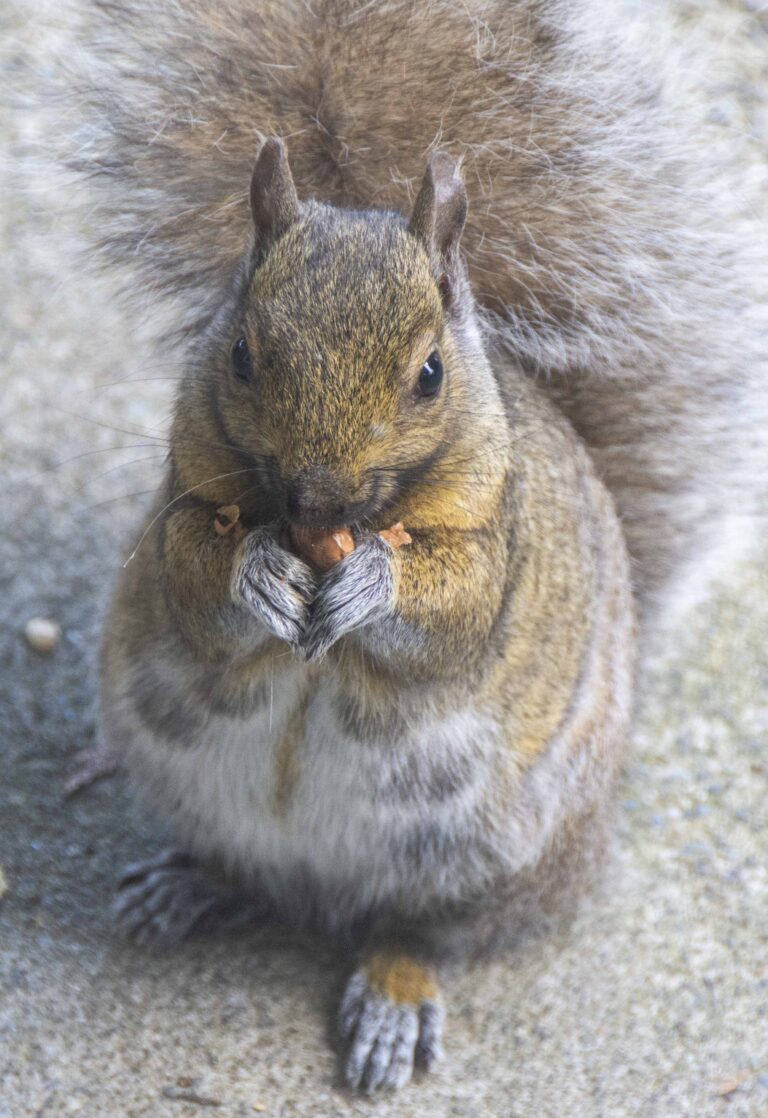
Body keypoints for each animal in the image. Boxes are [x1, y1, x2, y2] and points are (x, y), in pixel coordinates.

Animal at [101, 140, 635, 1093]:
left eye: (430, 373)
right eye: (241, 354)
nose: (317, 499)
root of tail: (324, 894)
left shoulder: (495, 538)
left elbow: (456, 607)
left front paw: (369, 584)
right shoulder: (185, 495)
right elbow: (194, 579)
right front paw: (258, 574)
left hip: (492, 854)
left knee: (420, 934)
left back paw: (392, 998)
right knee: (256, 882)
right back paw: (191, 886)